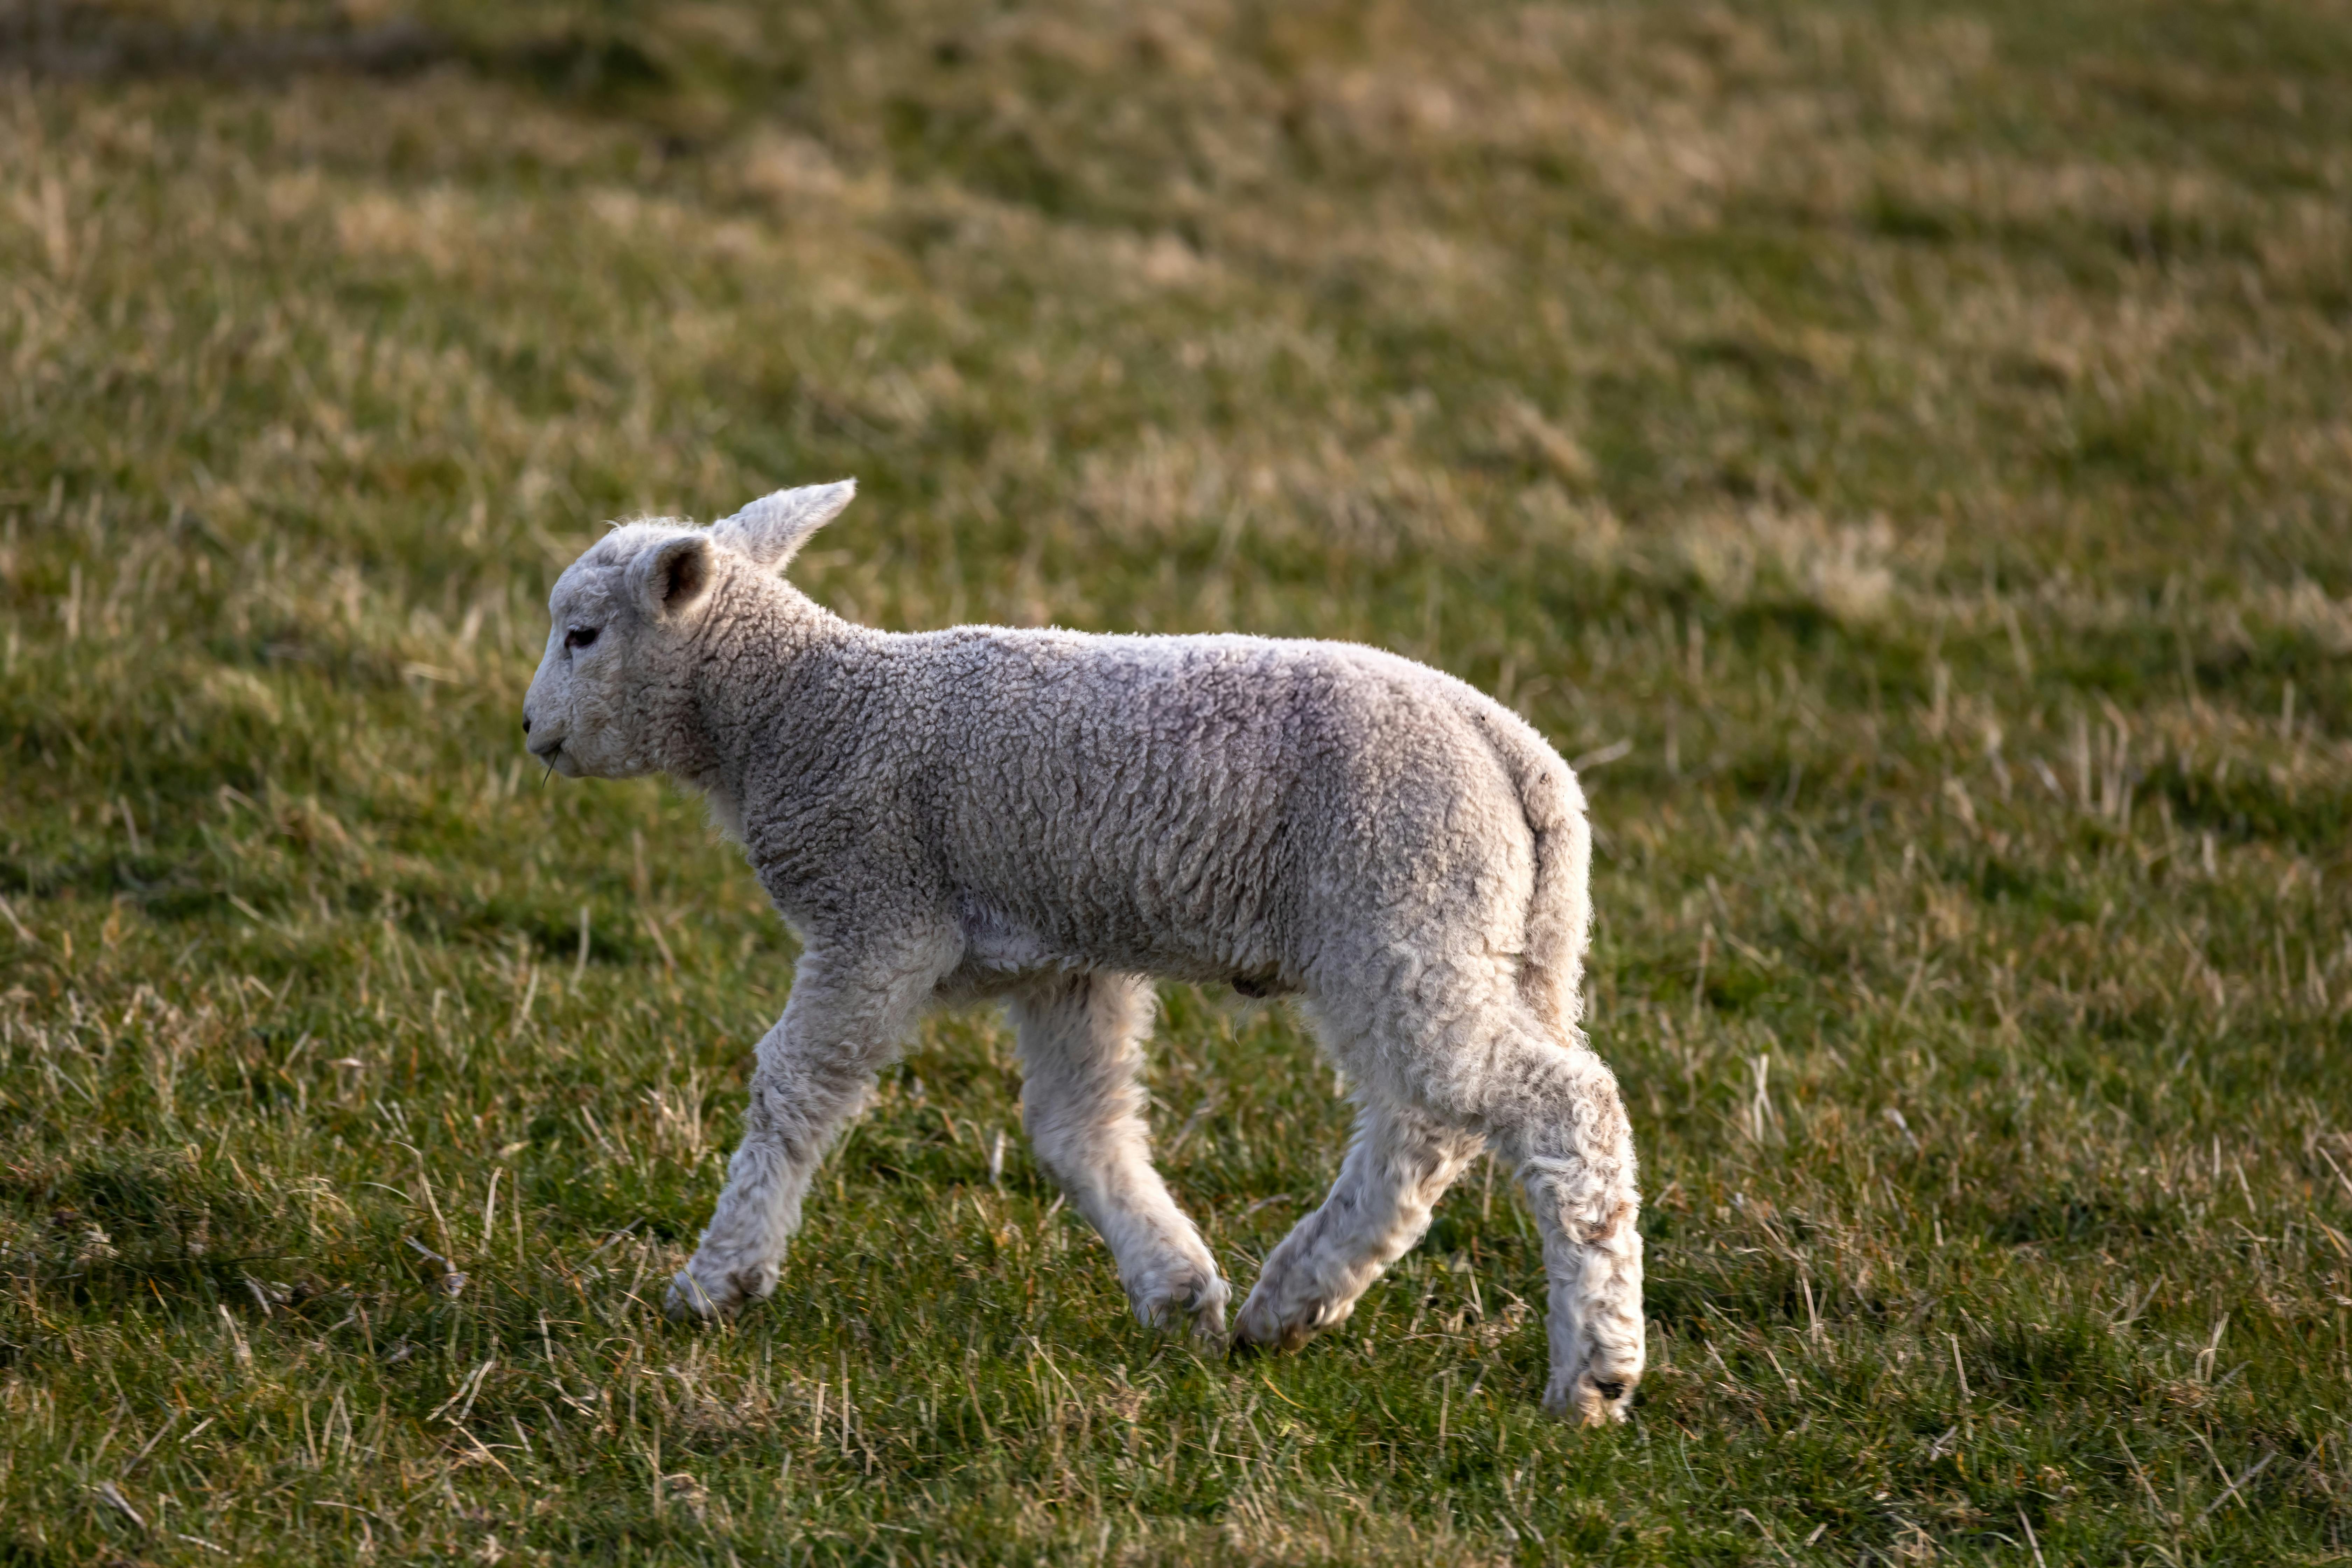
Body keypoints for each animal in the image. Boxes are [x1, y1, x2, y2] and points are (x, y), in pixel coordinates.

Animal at [520, 481, 1645, 1423]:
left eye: (582, 635)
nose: (532, 732)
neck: (799, 710)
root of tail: (1520, 756)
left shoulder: (876, 917)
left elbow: (794, 1089)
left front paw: (717, 1282)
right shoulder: (1064, 959)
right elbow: (1080, 1129)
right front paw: (1177, 1289)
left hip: (1401, 905)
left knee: (1554, 1104)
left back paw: (1594, 1372)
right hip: (1486, 939)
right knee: (1425, 1130)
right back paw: (1288, 1305)